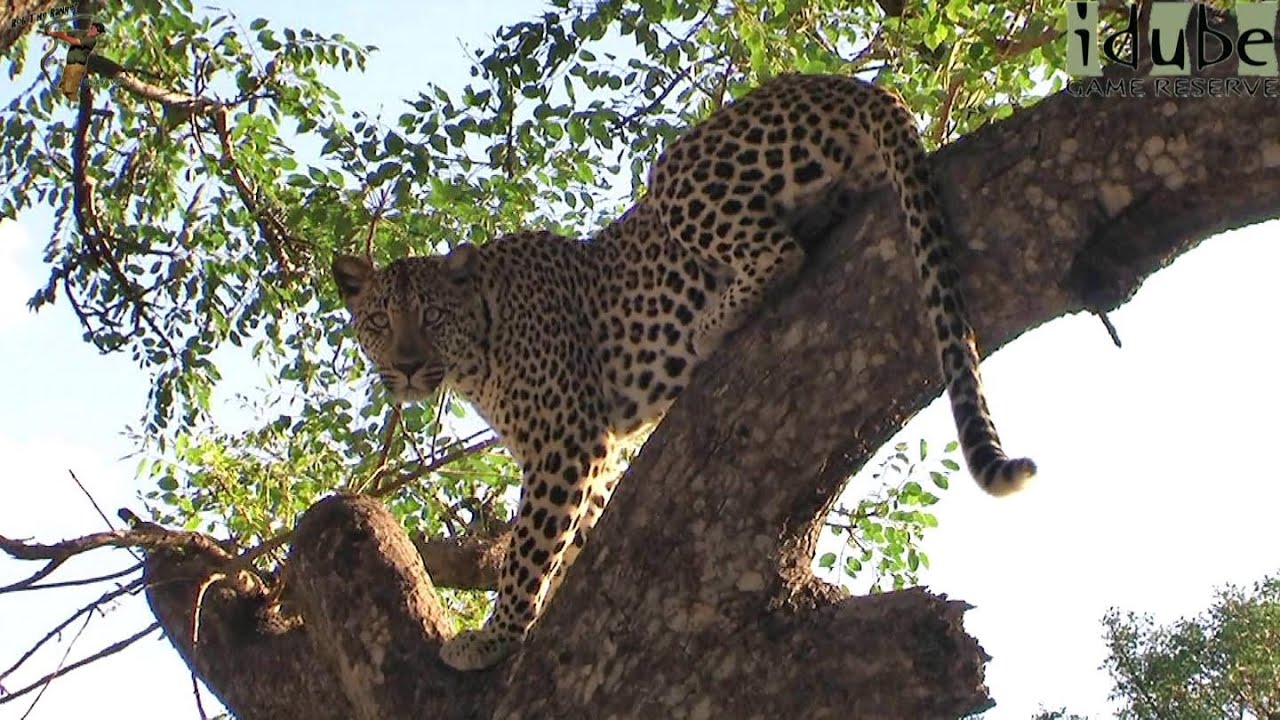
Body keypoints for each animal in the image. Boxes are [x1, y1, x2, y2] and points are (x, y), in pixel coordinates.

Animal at [332, 72, 1036, 672]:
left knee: (778, 252)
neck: (478, 348)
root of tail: (850, 84)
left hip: (677, 171)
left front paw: (495, 637)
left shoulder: (566, 441)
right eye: (379, 322)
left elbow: (530, 548)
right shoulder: (599, 453)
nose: (407, 366)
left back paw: (709, 327)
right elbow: (574, 539)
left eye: (432, 316)